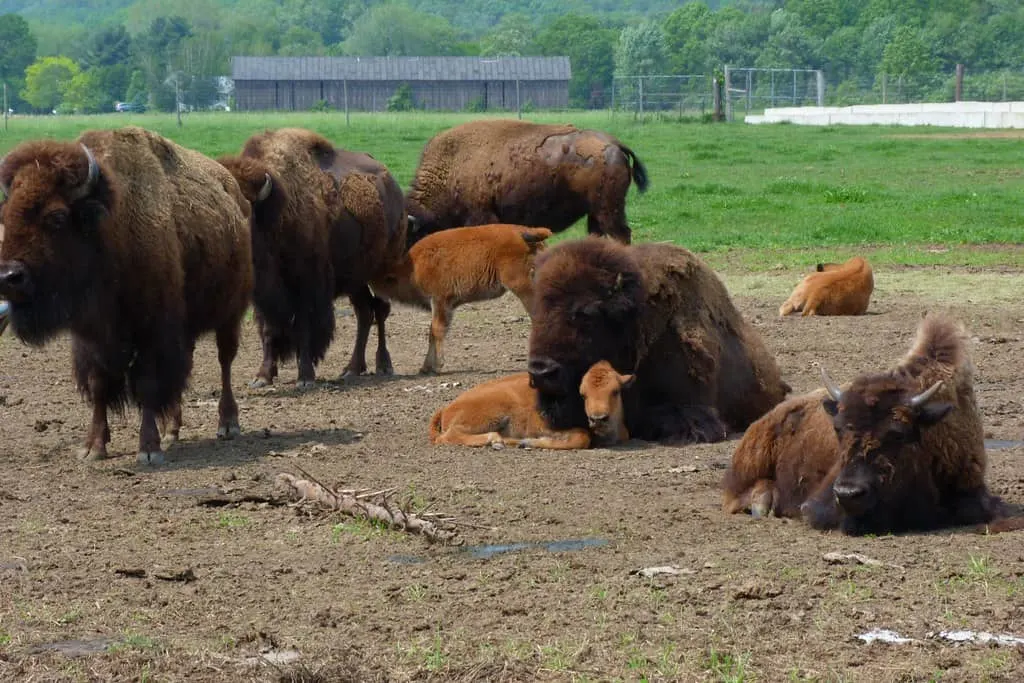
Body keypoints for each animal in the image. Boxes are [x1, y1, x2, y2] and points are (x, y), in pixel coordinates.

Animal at [0, 127, 253, 465]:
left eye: (56, 217)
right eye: (6, 213)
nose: (8, 277)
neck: (109, 231)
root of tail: (235, 196)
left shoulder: (152, 332)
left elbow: (146, 384)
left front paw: (148, 449)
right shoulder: (90, 338)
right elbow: (99, 384)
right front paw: (93, 448)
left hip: (230, 315)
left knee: (225, 362)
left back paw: (227, 424)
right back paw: (172, 429)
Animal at [219, 128, 406, 387]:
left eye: (246, 209)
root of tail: (393, 186)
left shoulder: (307, 285)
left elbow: (303, 327)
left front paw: (305, 377)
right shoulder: (263, 294)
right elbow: (269, 330)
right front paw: (262, 377)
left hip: (381, 271)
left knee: (380, 309)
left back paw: (383, 365)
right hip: (355, 278)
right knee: (365, 312)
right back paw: (352, 369)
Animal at [405, 119, 648, 244]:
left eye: (409, 237)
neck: (451, 167)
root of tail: (614, 144)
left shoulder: (481, 216)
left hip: (608, 210)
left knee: (621, 234)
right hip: (595, 212)